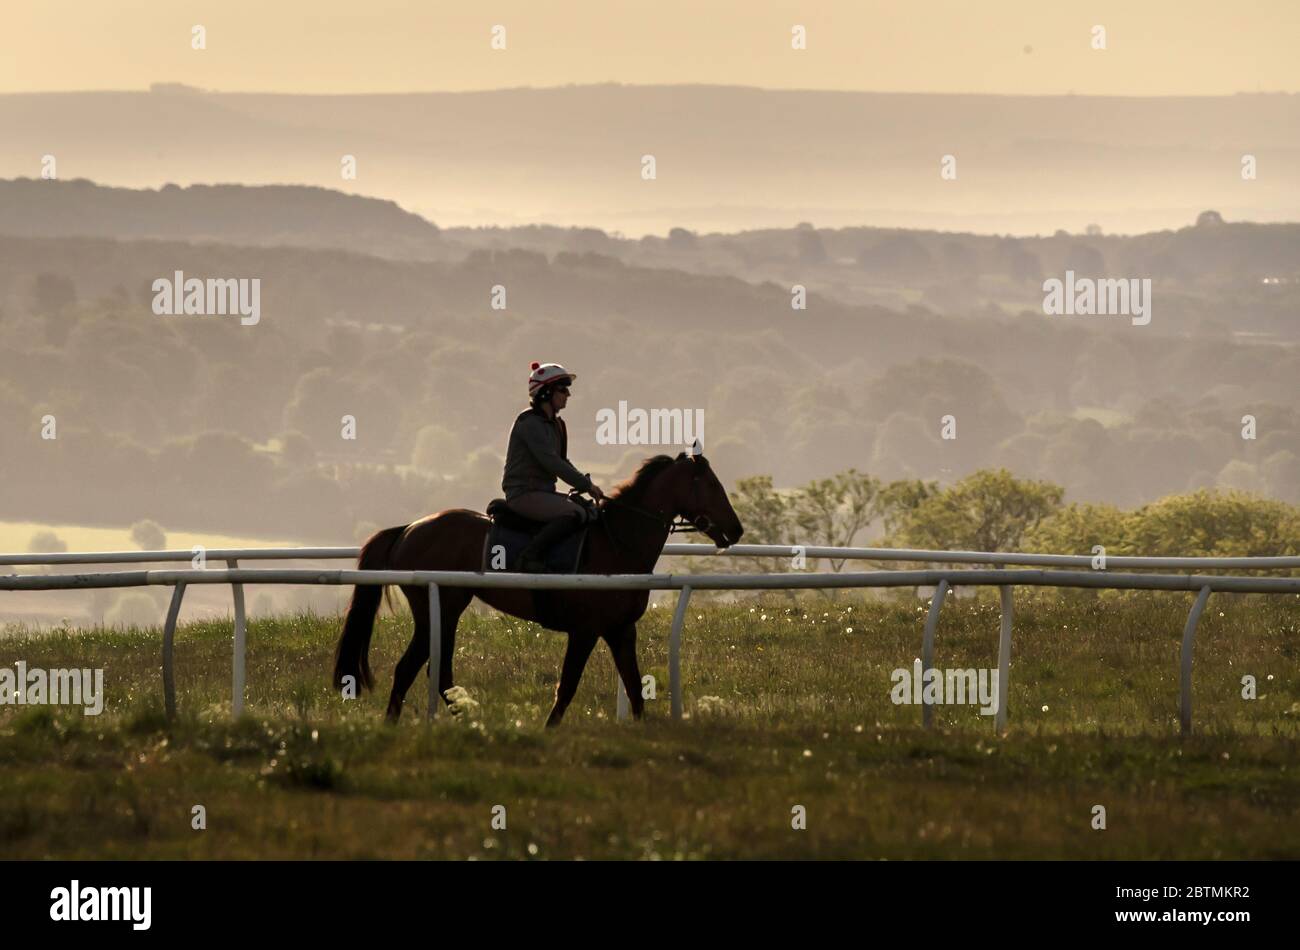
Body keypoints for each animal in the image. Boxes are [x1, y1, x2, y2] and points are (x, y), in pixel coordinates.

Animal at [332, 450, 744, 725]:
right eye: (712, 484)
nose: (737, 529)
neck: (618, 543)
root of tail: (409, 529)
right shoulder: (586, 630)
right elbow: (568, 686)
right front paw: (549, 729)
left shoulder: (621, 630)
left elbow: (632, 686)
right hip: (437, 607)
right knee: (409, 668)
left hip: (448, 608)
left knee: (438, 671)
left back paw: (465, 718)